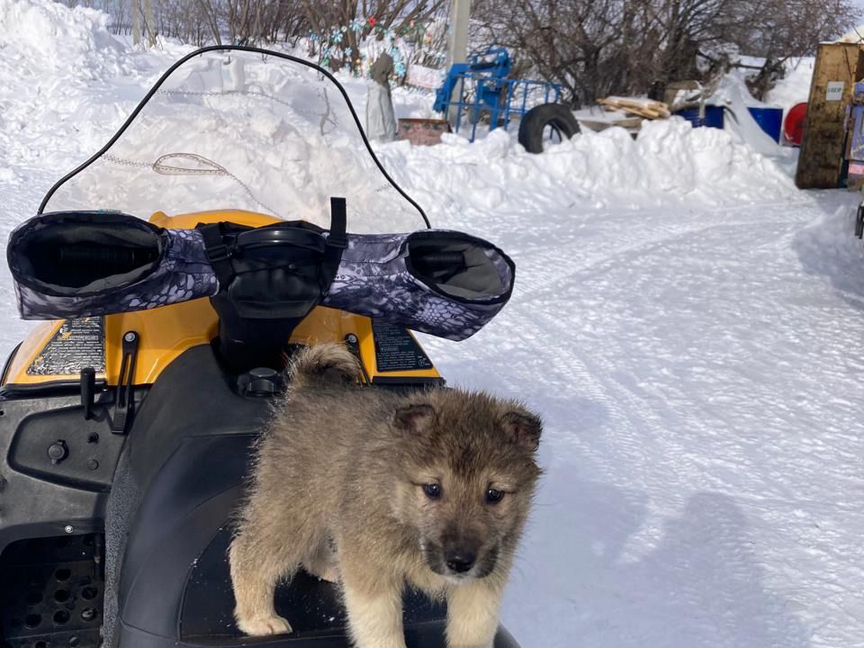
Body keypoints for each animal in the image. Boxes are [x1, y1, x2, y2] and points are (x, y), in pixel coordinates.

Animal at [230, 344, 540, 648]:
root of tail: (307, 388)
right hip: (293, 508)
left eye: (494, 494)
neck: (400, 509)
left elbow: (473, 629)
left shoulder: (483, 582)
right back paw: (258, 619)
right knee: (246, 553)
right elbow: (382, 630)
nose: (460, 562)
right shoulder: (371, 569)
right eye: (433, 489)